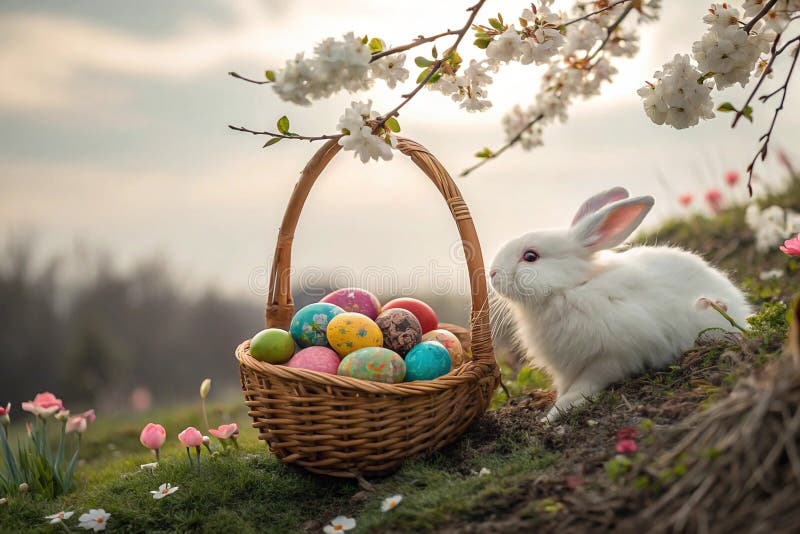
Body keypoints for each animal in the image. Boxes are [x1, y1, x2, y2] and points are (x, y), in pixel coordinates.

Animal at [489, 187, 752, 422]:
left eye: (530, 256)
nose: (492, 274)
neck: (570, 288)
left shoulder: (611, 356)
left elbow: (586, 384)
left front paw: (553, 414)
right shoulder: (566, 369)